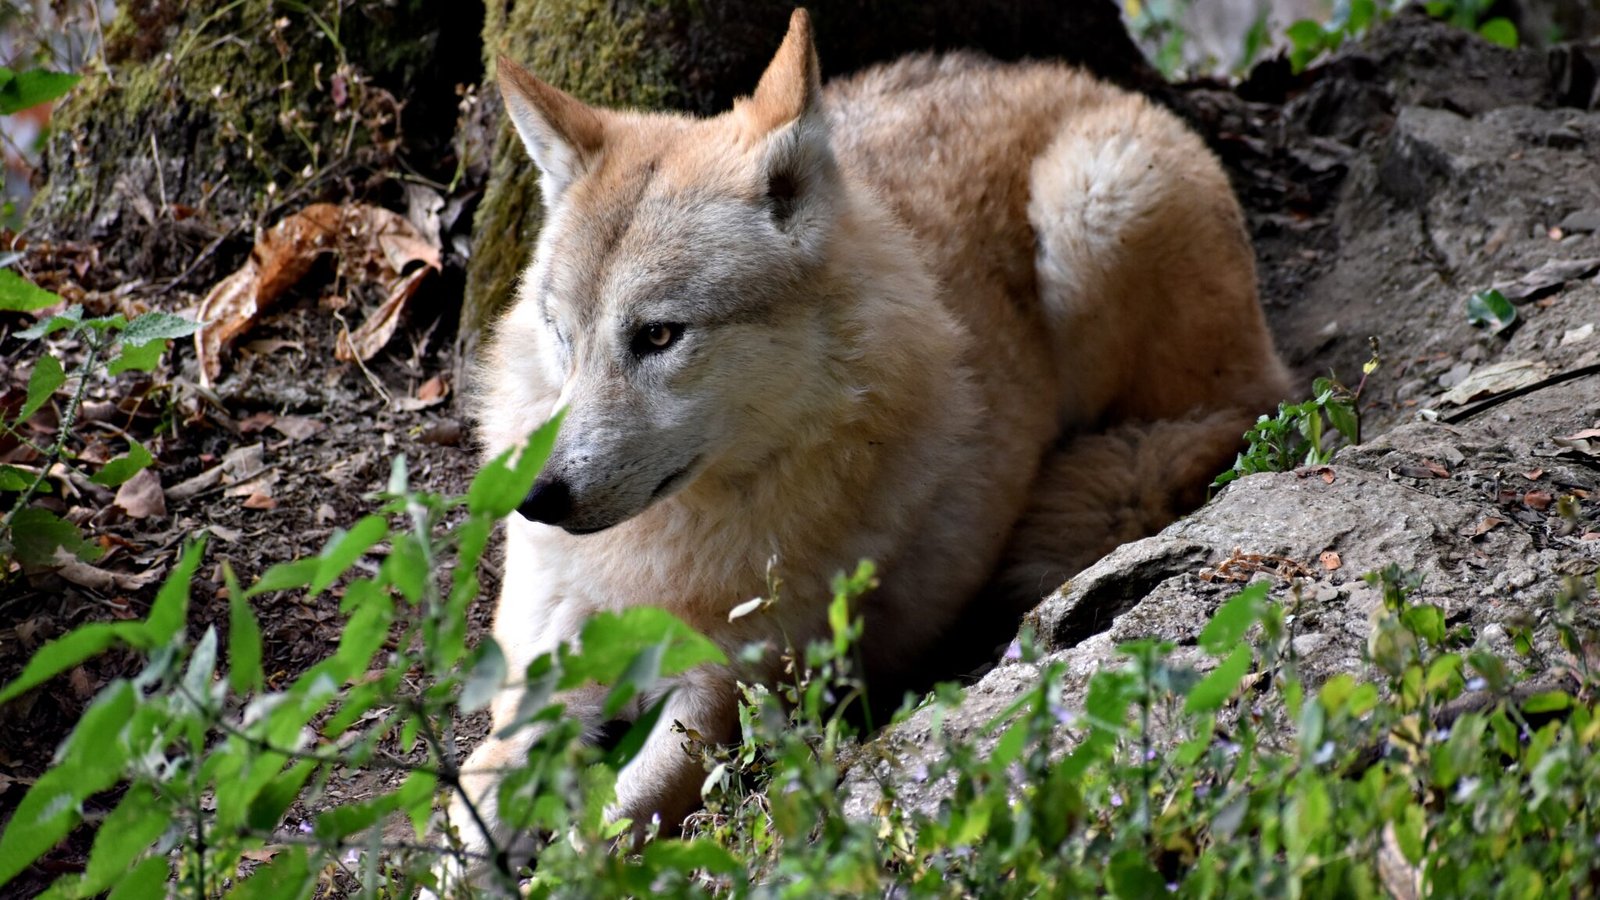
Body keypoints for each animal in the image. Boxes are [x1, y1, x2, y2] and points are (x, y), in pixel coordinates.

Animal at [445, 7, 1288, 888]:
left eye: (659, 335)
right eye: (563, 335)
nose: (537, 498)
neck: (667, 551)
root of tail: (1067, 75)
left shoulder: (723, 698)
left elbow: (607, 830)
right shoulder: (538, 677)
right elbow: (470, 805)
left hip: (1092, 212)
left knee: (1216, 418)